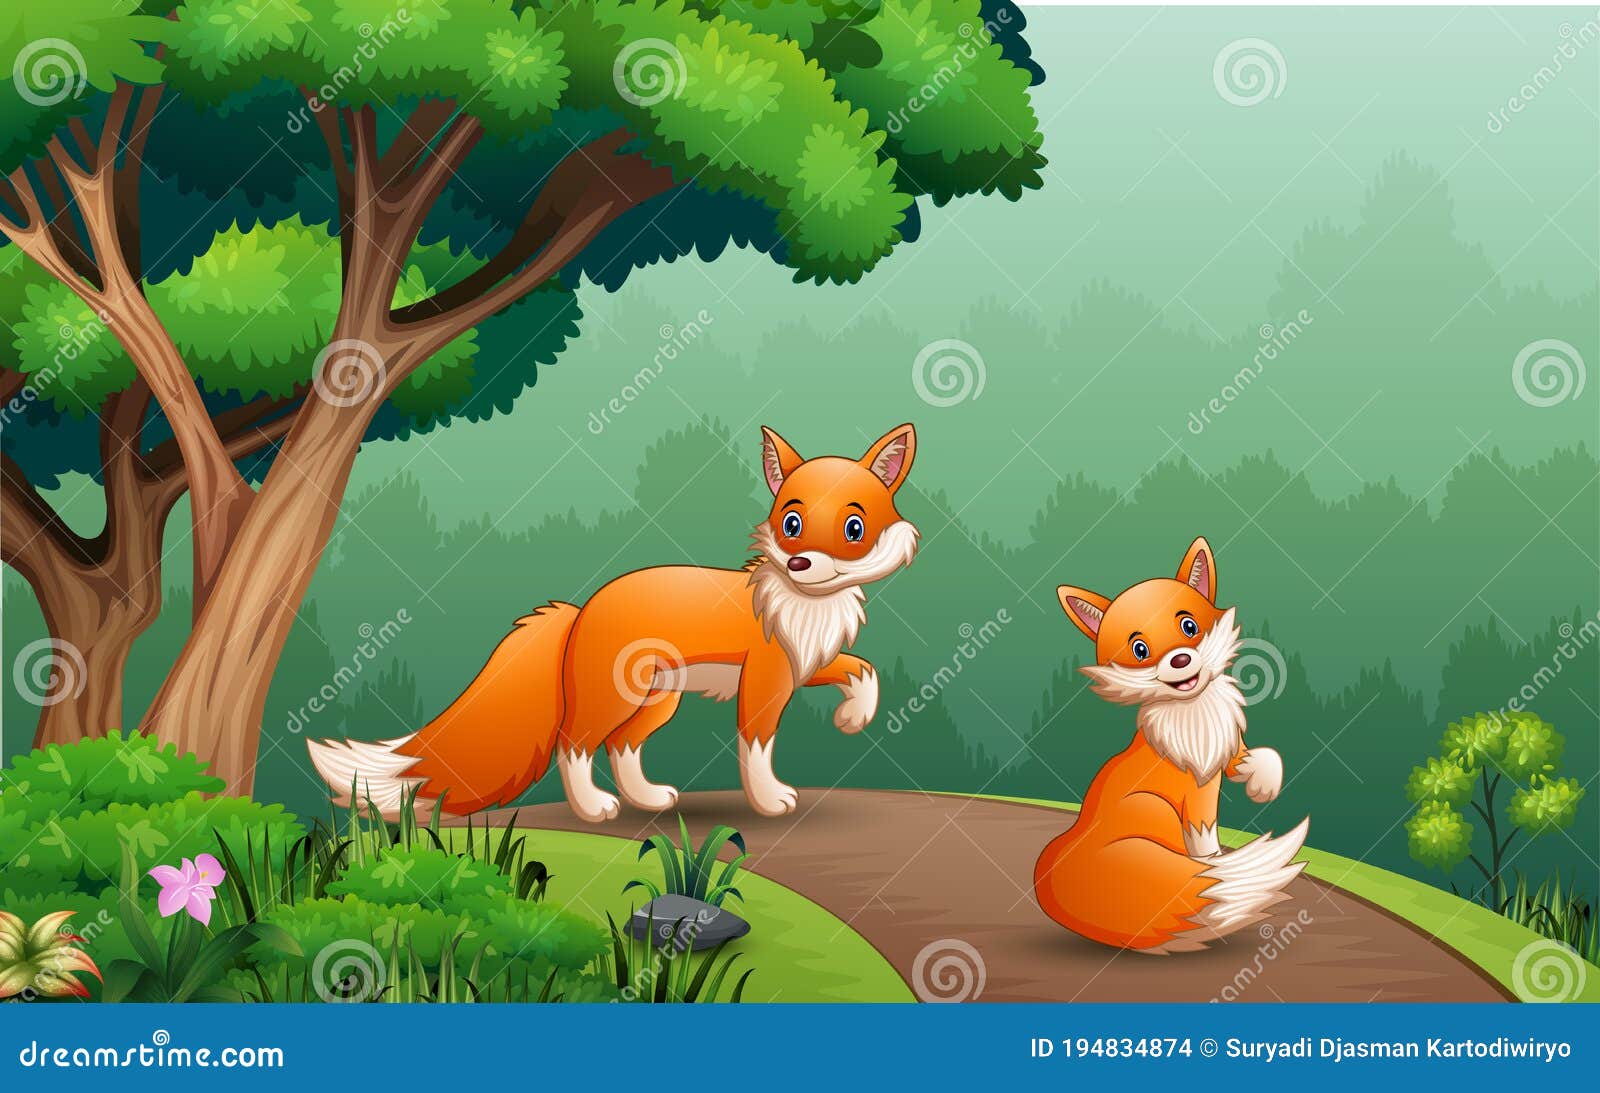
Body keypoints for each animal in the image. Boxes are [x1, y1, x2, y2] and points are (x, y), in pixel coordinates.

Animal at [307, 424, 919, 823]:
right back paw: (596, 808)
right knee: (573, 745)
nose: (799, 564)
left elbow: (863, 672)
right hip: (612, 699)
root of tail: (581, 609)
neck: (803, 603)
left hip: (656, 701)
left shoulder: (804, 666)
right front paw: (769, 801)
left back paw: (645, 800)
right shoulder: (766, 685)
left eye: (854, 529)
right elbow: (758, 747)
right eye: (791, 523)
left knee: (621, 747)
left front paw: (853, 717)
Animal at [1033, 537, 1309, 953]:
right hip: (1153, 806)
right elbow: (1204, 840)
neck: (1193, 712)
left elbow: (1265, 757)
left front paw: (1263, 784)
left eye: (1189, 626)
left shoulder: (1226, 754)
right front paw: (1212, 865)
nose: (1180, 660)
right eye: (1140, 650)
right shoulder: (1195, 796)